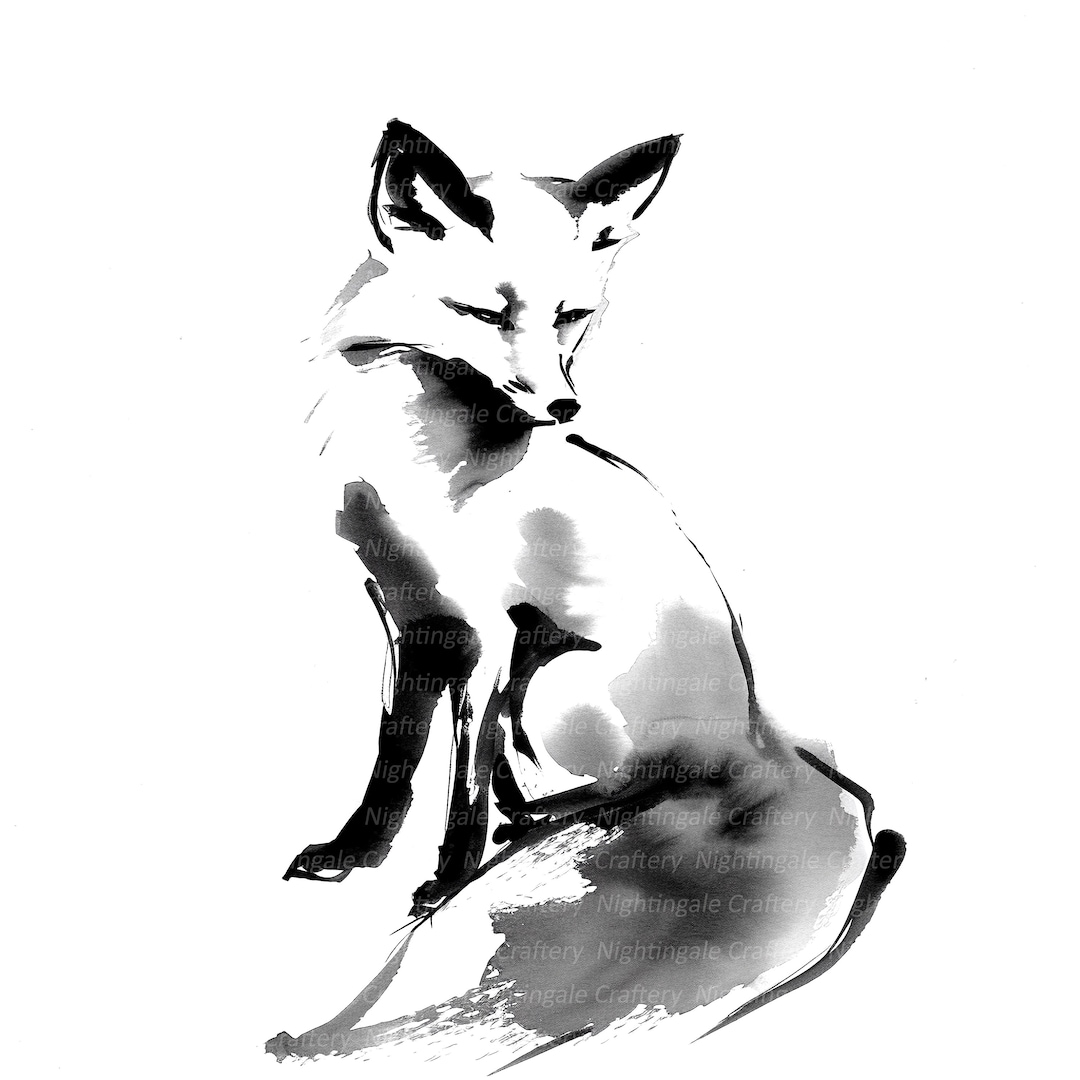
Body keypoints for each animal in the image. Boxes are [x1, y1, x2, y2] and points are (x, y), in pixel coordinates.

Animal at [270, 119, 903, 1068]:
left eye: (571, 316)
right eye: (485, 314)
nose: (565, 407)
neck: (414, 470)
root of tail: (760, 737)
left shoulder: (486, 630)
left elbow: (458, 784)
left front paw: (441, 884)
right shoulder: (401, 615)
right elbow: (395, 757)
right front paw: (353, 853)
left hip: (553, 688)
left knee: (612, 789)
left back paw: (532, 819)